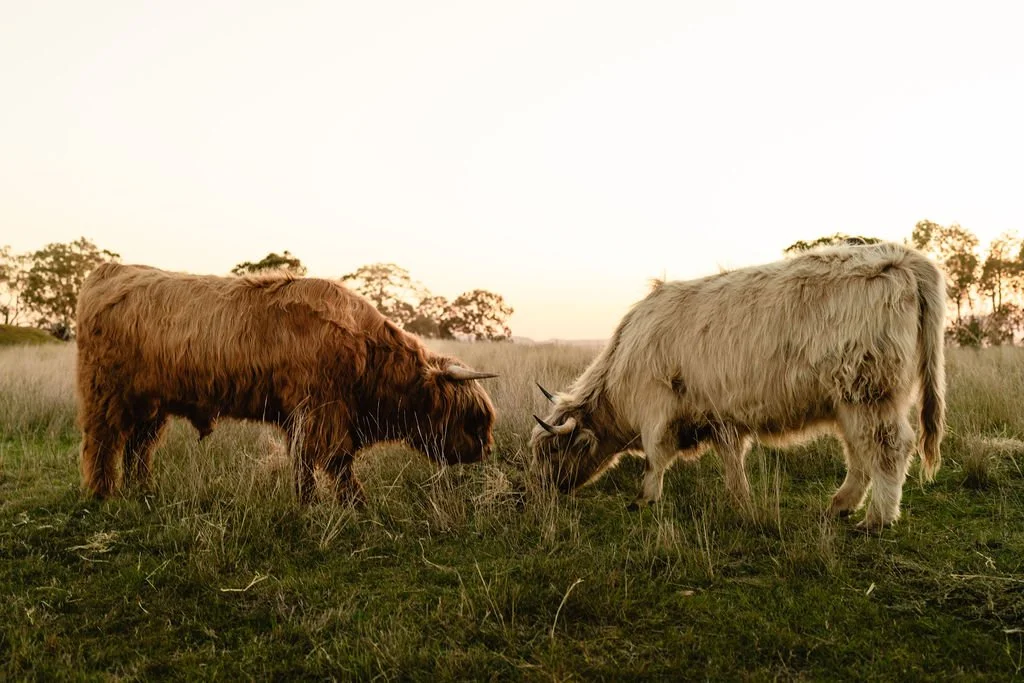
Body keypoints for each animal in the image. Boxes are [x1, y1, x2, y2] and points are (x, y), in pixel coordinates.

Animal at [76, 263, 498, 504]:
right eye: (472, 417)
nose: (485, 449)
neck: (367, 353)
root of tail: (109, 270)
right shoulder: (323, 412)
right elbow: (336, 462)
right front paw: (353, 505)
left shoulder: (302, 416)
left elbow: (304, 463)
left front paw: (306, 502)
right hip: (106, 393)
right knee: (102, 442)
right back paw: (102, 493)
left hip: (150, 403)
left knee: (138, 446)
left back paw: (141, 490)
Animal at [530, 242, 946, 529]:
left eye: (552, 452)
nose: (542, 489)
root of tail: (899, 255)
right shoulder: (721, 418)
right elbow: (732, 463)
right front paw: (741, 501)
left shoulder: (658, 408)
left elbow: (655, 458)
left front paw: (645, 499)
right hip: (847, 402)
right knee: (858, 452)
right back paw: (840, 505)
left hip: (868, 392)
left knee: (889, 447)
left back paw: (877, 518)